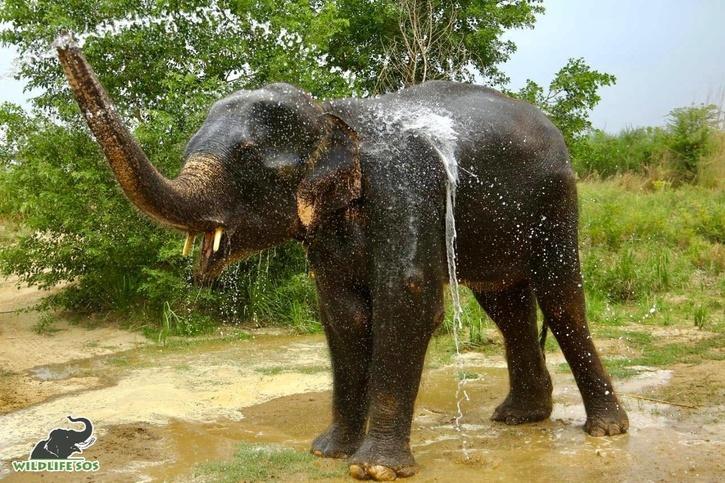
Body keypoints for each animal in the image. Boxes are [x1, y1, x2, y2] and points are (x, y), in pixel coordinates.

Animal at [56, 40, 628, 480]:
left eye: (247, 159)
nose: (66, 43)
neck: (333, 113)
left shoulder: (407, 183)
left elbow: (407, 296)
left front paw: (374, 469)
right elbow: (341, 310)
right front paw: (327, 452)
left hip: (557, 199)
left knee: (560, 299)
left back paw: (605, 428)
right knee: (505, 305)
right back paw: (519, 418)